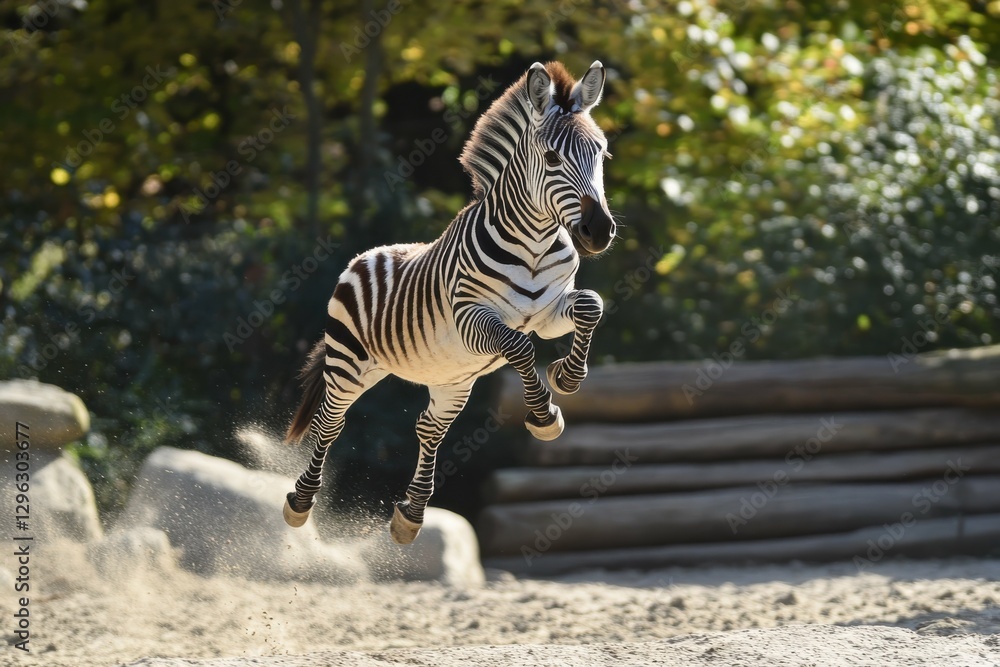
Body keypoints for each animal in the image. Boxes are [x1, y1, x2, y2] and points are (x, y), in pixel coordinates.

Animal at [283, 60, 616, 545]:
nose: (600, 232)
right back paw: (301, 502)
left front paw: (567, 377)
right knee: (331, 421)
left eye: (602, 154)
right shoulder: (470, 317)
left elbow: (591, 305)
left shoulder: (549, 312)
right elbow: (519, 347)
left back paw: (411, 515)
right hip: (349, 363)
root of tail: (366, 254)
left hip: (451, 379)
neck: (535, 245)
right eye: (553, 158)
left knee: (428, 429)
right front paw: (543, 414)